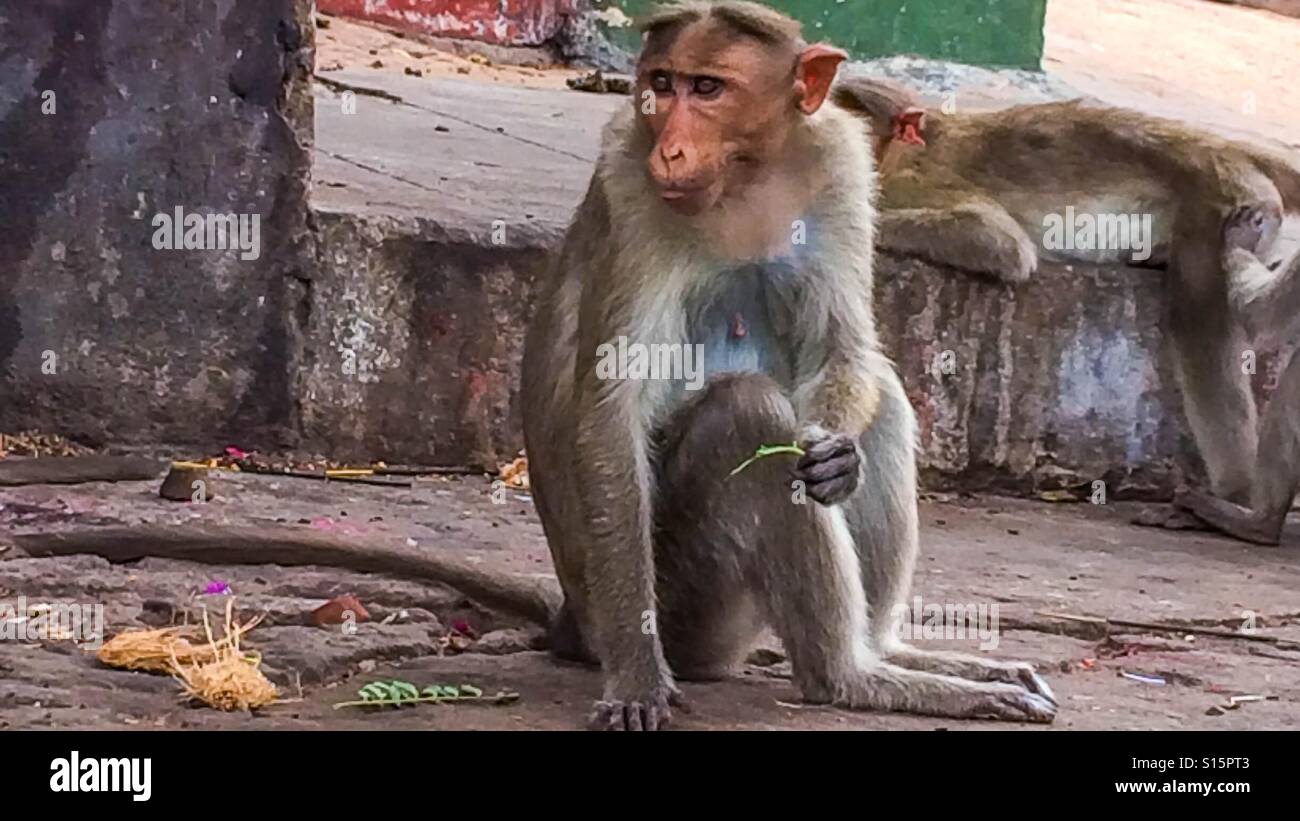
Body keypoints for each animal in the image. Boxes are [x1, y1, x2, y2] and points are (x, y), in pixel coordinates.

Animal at [521, 1, 1057, 731]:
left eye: (707, 88)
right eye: (661, 82)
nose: (669, 148)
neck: (747, 175)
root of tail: (572, 621)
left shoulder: (841, 164)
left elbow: (843, 349)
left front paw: (838, 457)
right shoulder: (630, 191)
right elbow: (613, 412)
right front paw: (635, 679)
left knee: (880, 395)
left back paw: (897, 654)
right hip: (693, 606)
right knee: (747, 415)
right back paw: (853, 678)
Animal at [832, 76, 1300, 515]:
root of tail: (1223, 147)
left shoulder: (915, 183)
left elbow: (997, 242)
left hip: (1225, 206)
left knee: (1198, 320)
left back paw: (1236, 500)